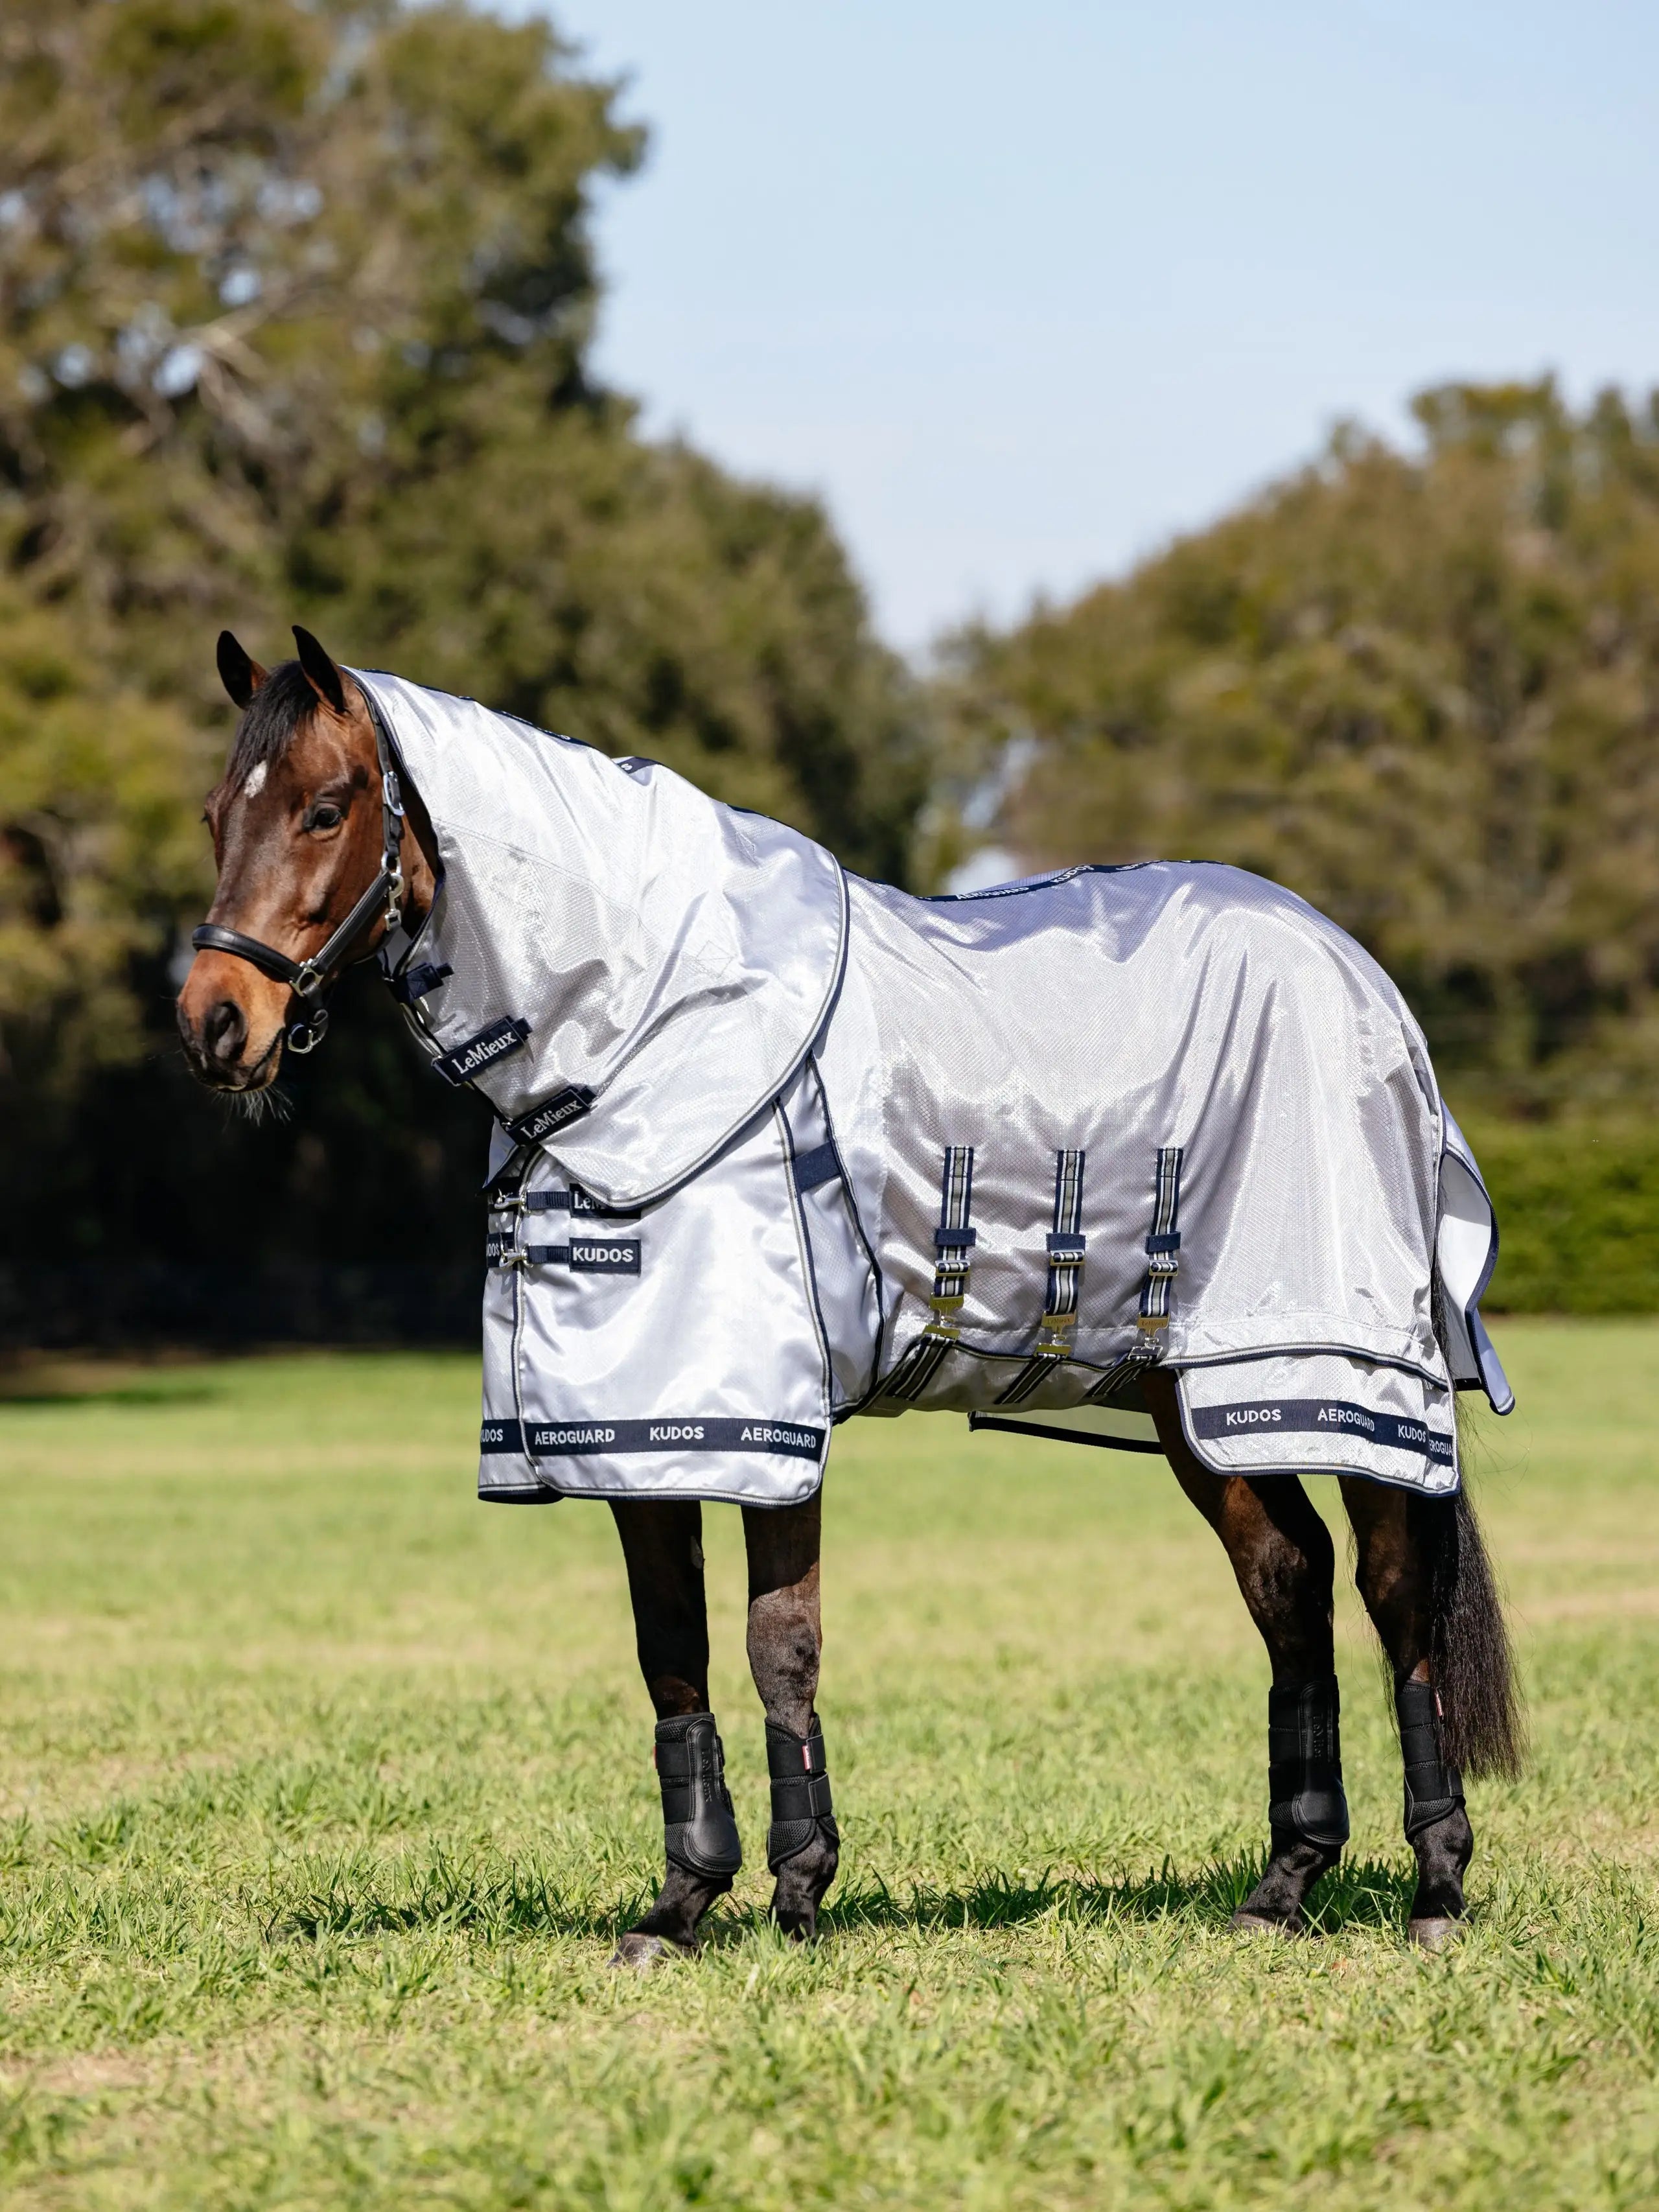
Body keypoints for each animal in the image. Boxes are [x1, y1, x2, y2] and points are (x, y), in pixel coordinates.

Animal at [178, 626, 1523, 1964]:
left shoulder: (759, 1419)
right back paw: (1284, 1882)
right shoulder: (633, 1429)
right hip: (1193, 1395)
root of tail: (1362, 976)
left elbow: (780, 1642)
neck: (644, 1022)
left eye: (327, 807)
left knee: (1394, 1594)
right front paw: (685, 1902)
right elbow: (673, 1651)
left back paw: (1437, 1887)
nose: (215, 1024)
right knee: (1289, 1582)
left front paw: (795, 1891)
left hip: (1332, 1371)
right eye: (215, 814)